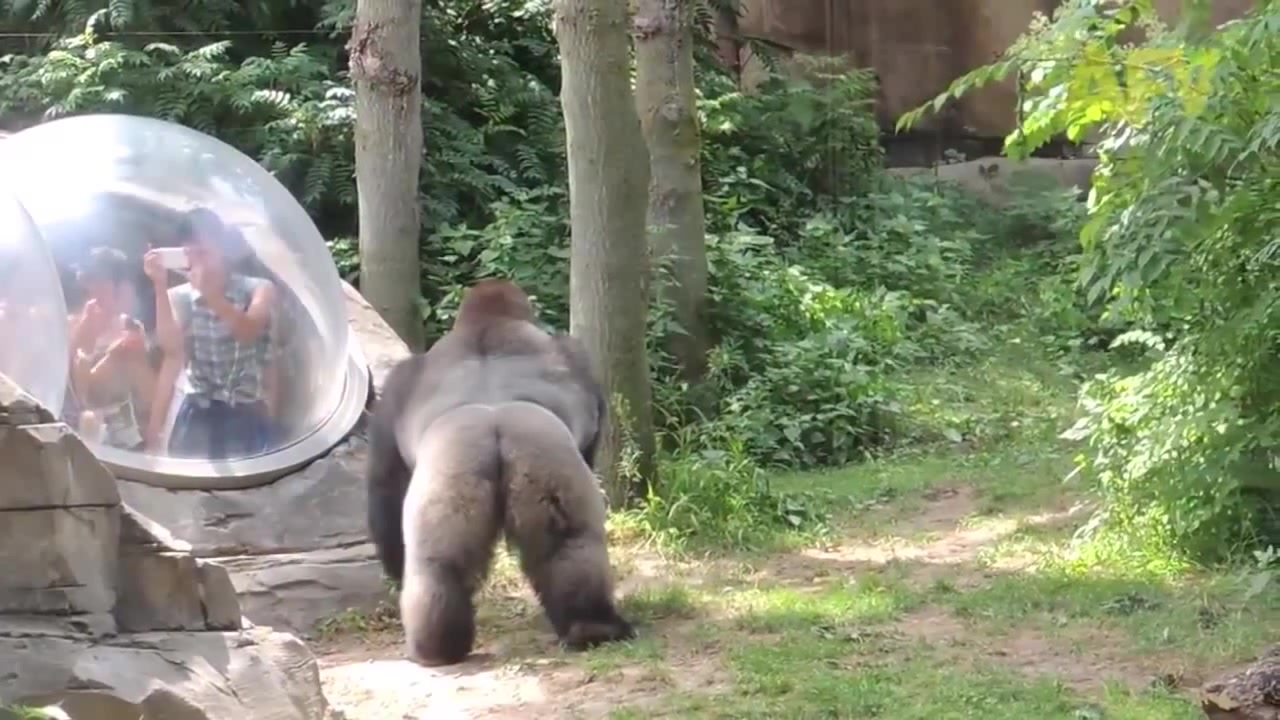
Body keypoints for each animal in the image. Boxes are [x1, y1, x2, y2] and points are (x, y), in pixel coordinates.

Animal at [364, 278, 634, 666]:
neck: (488, 322)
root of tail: (496, 422)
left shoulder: (397, 383)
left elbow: (386, 484)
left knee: (444, 565)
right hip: (522, 466)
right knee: (564, 545)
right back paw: (588, 626)